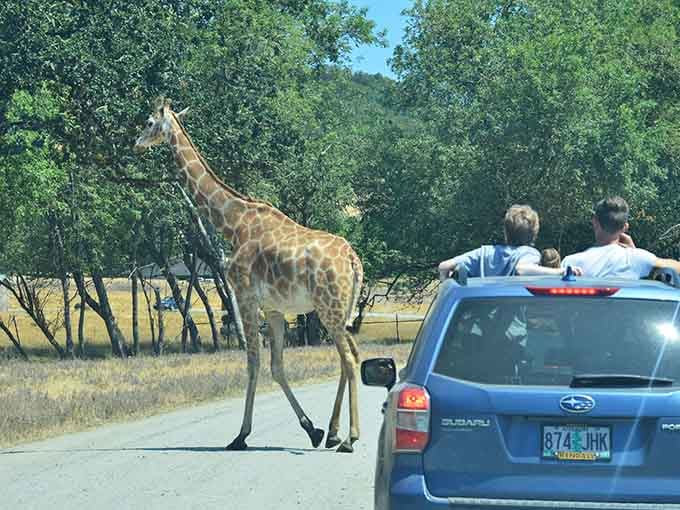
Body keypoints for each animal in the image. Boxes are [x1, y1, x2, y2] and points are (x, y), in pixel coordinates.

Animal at [134, 99, 364, 453]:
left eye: (148, 122)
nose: (136, 143)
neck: (232, 223)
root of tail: (354, 261)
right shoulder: (274, 307)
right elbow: (277, 366)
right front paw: (312, 430)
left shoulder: (244, 295)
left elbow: (253, 362)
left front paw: (240, 436)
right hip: (340, 310)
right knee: (347, 357)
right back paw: (334, 433)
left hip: (330, 307)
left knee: (350, 358)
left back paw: (350, 438)